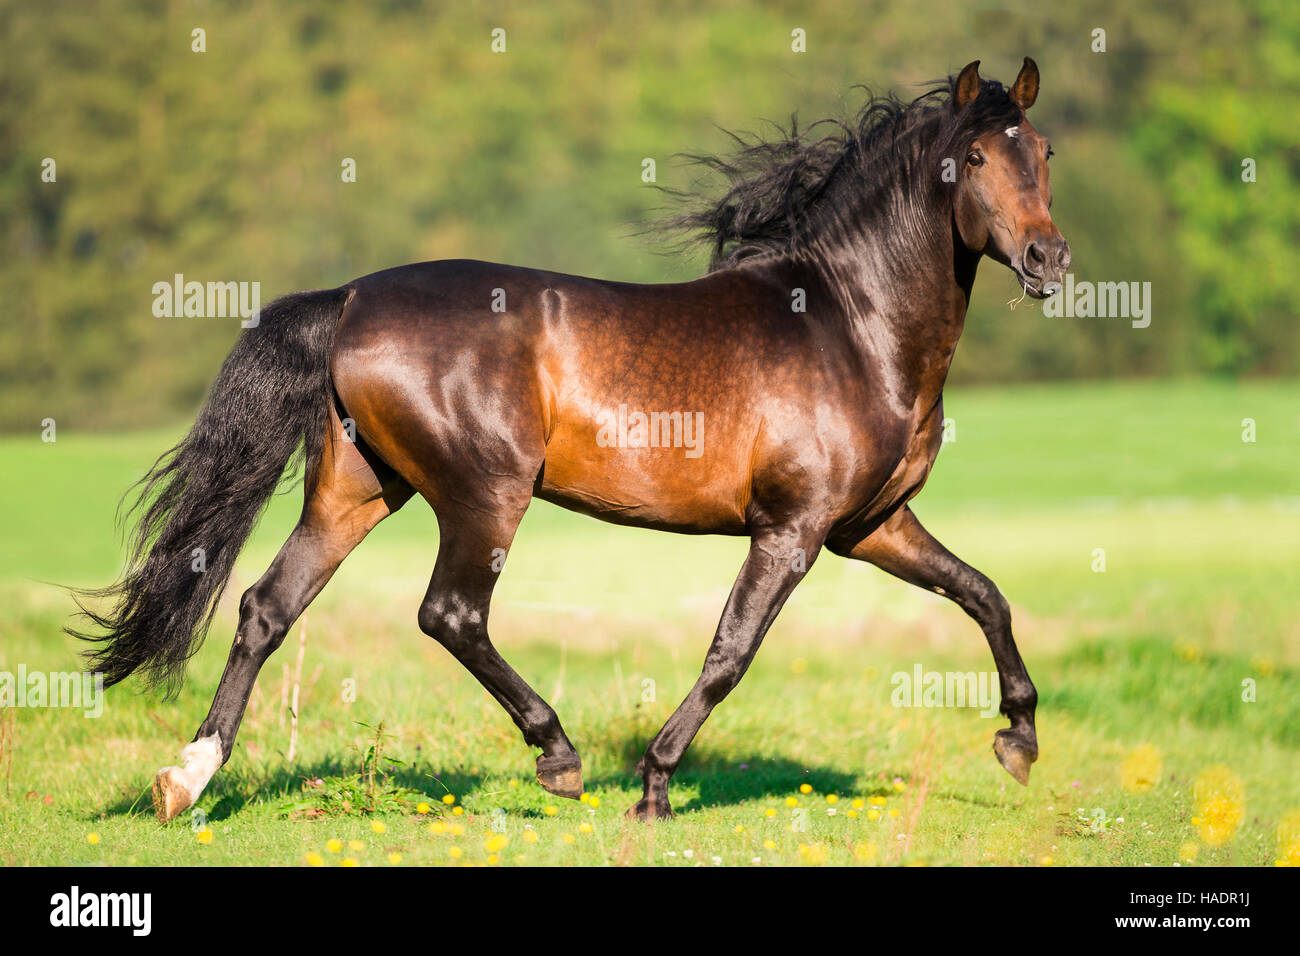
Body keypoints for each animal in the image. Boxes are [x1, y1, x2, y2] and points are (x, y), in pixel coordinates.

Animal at [72, 57, 1068, 822]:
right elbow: (730, 653)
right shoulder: (794, 529)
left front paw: (1018, 739)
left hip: (356, 491)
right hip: (486, 495)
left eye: (1045, 151)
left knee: (266, 609)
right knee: (449, 614)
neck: (850, 325)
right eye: (973, 155)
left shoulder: (872, 526)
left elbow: (985, 596)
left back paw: (185, 779)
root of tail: (351, 297)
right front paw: (655, 788)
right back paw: (558, 756)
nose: (1050, 260)